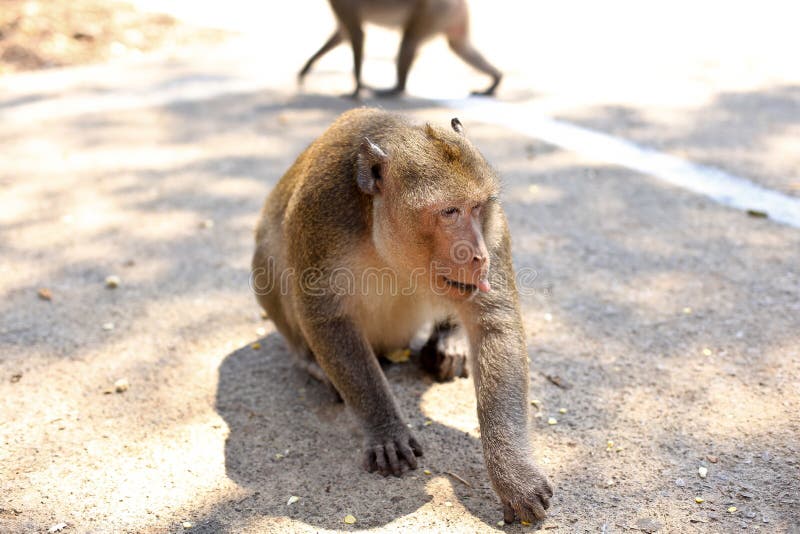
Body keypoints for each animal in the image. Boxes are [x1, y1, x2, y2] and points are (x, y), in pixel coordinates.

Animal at [251, 108, 552, 522]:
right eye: (449, 211)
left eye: (477, 207)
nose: (477, 255)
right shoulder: (321, 215)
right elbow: (327, 318)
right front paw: (385, 430)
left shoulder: (495, 229)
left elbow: (495, 323)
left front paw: (513, 472)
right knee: (271, 259)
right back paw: (312, 364)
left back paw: (448, 341)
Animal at [298, 0, 502, 98]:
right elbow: (343, 34)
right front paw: (305, 68)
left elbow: (356, 34)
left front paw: (356, 89)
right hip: (451, 14)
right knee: (460, 46)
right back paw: (496, 80)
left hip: (435, 8)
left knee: (409, 41)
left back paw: (396, 89)